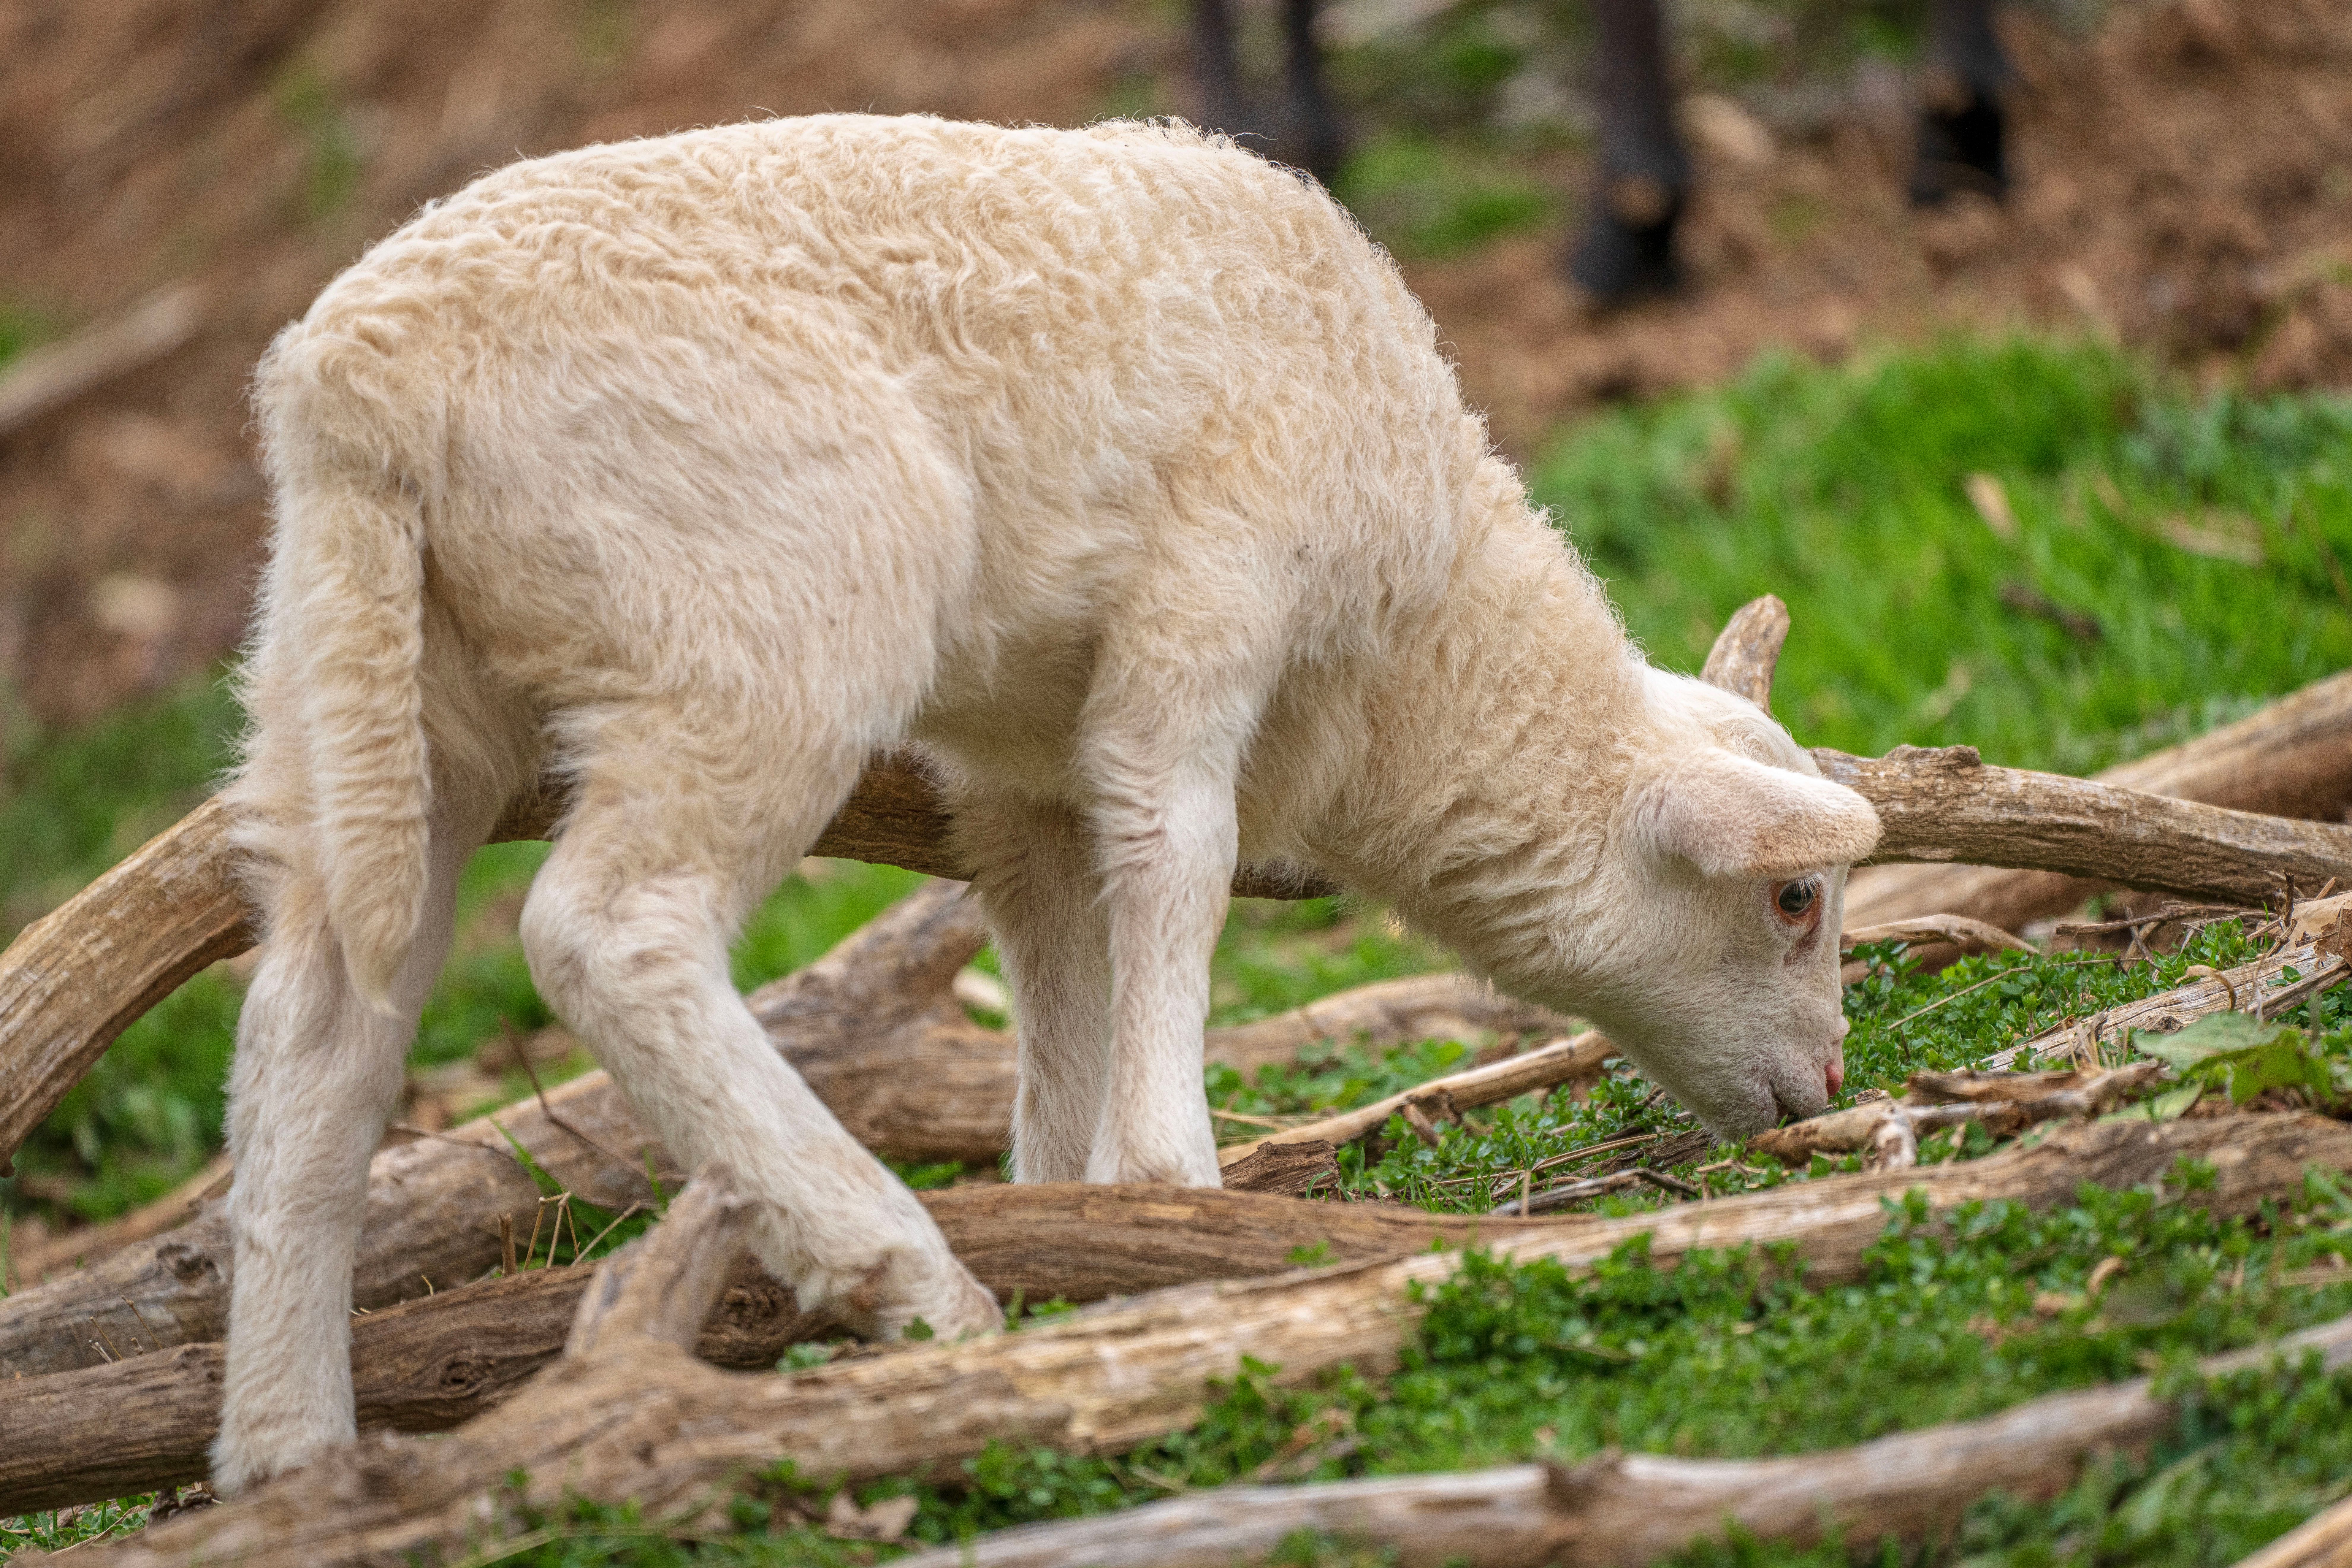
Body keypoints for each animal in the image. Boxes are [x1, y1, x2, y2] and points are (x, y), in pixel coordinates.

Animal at [215, 112, 1880, 1495]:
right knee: (605, 928)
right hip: (756, 609)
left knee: (318, 1021)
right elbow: (1176, 845)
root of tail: (354, 389)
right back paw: (891, 1265)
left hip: (364, 680)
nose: (1827, 1087)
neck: (1420, 651)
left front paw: (1069, 1201)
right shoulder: (1213, 583)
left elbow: (1053, 946)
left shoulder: (1019, 765)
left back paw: (290, 1449)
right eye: (1794, 898)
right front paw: (1169, 1185)